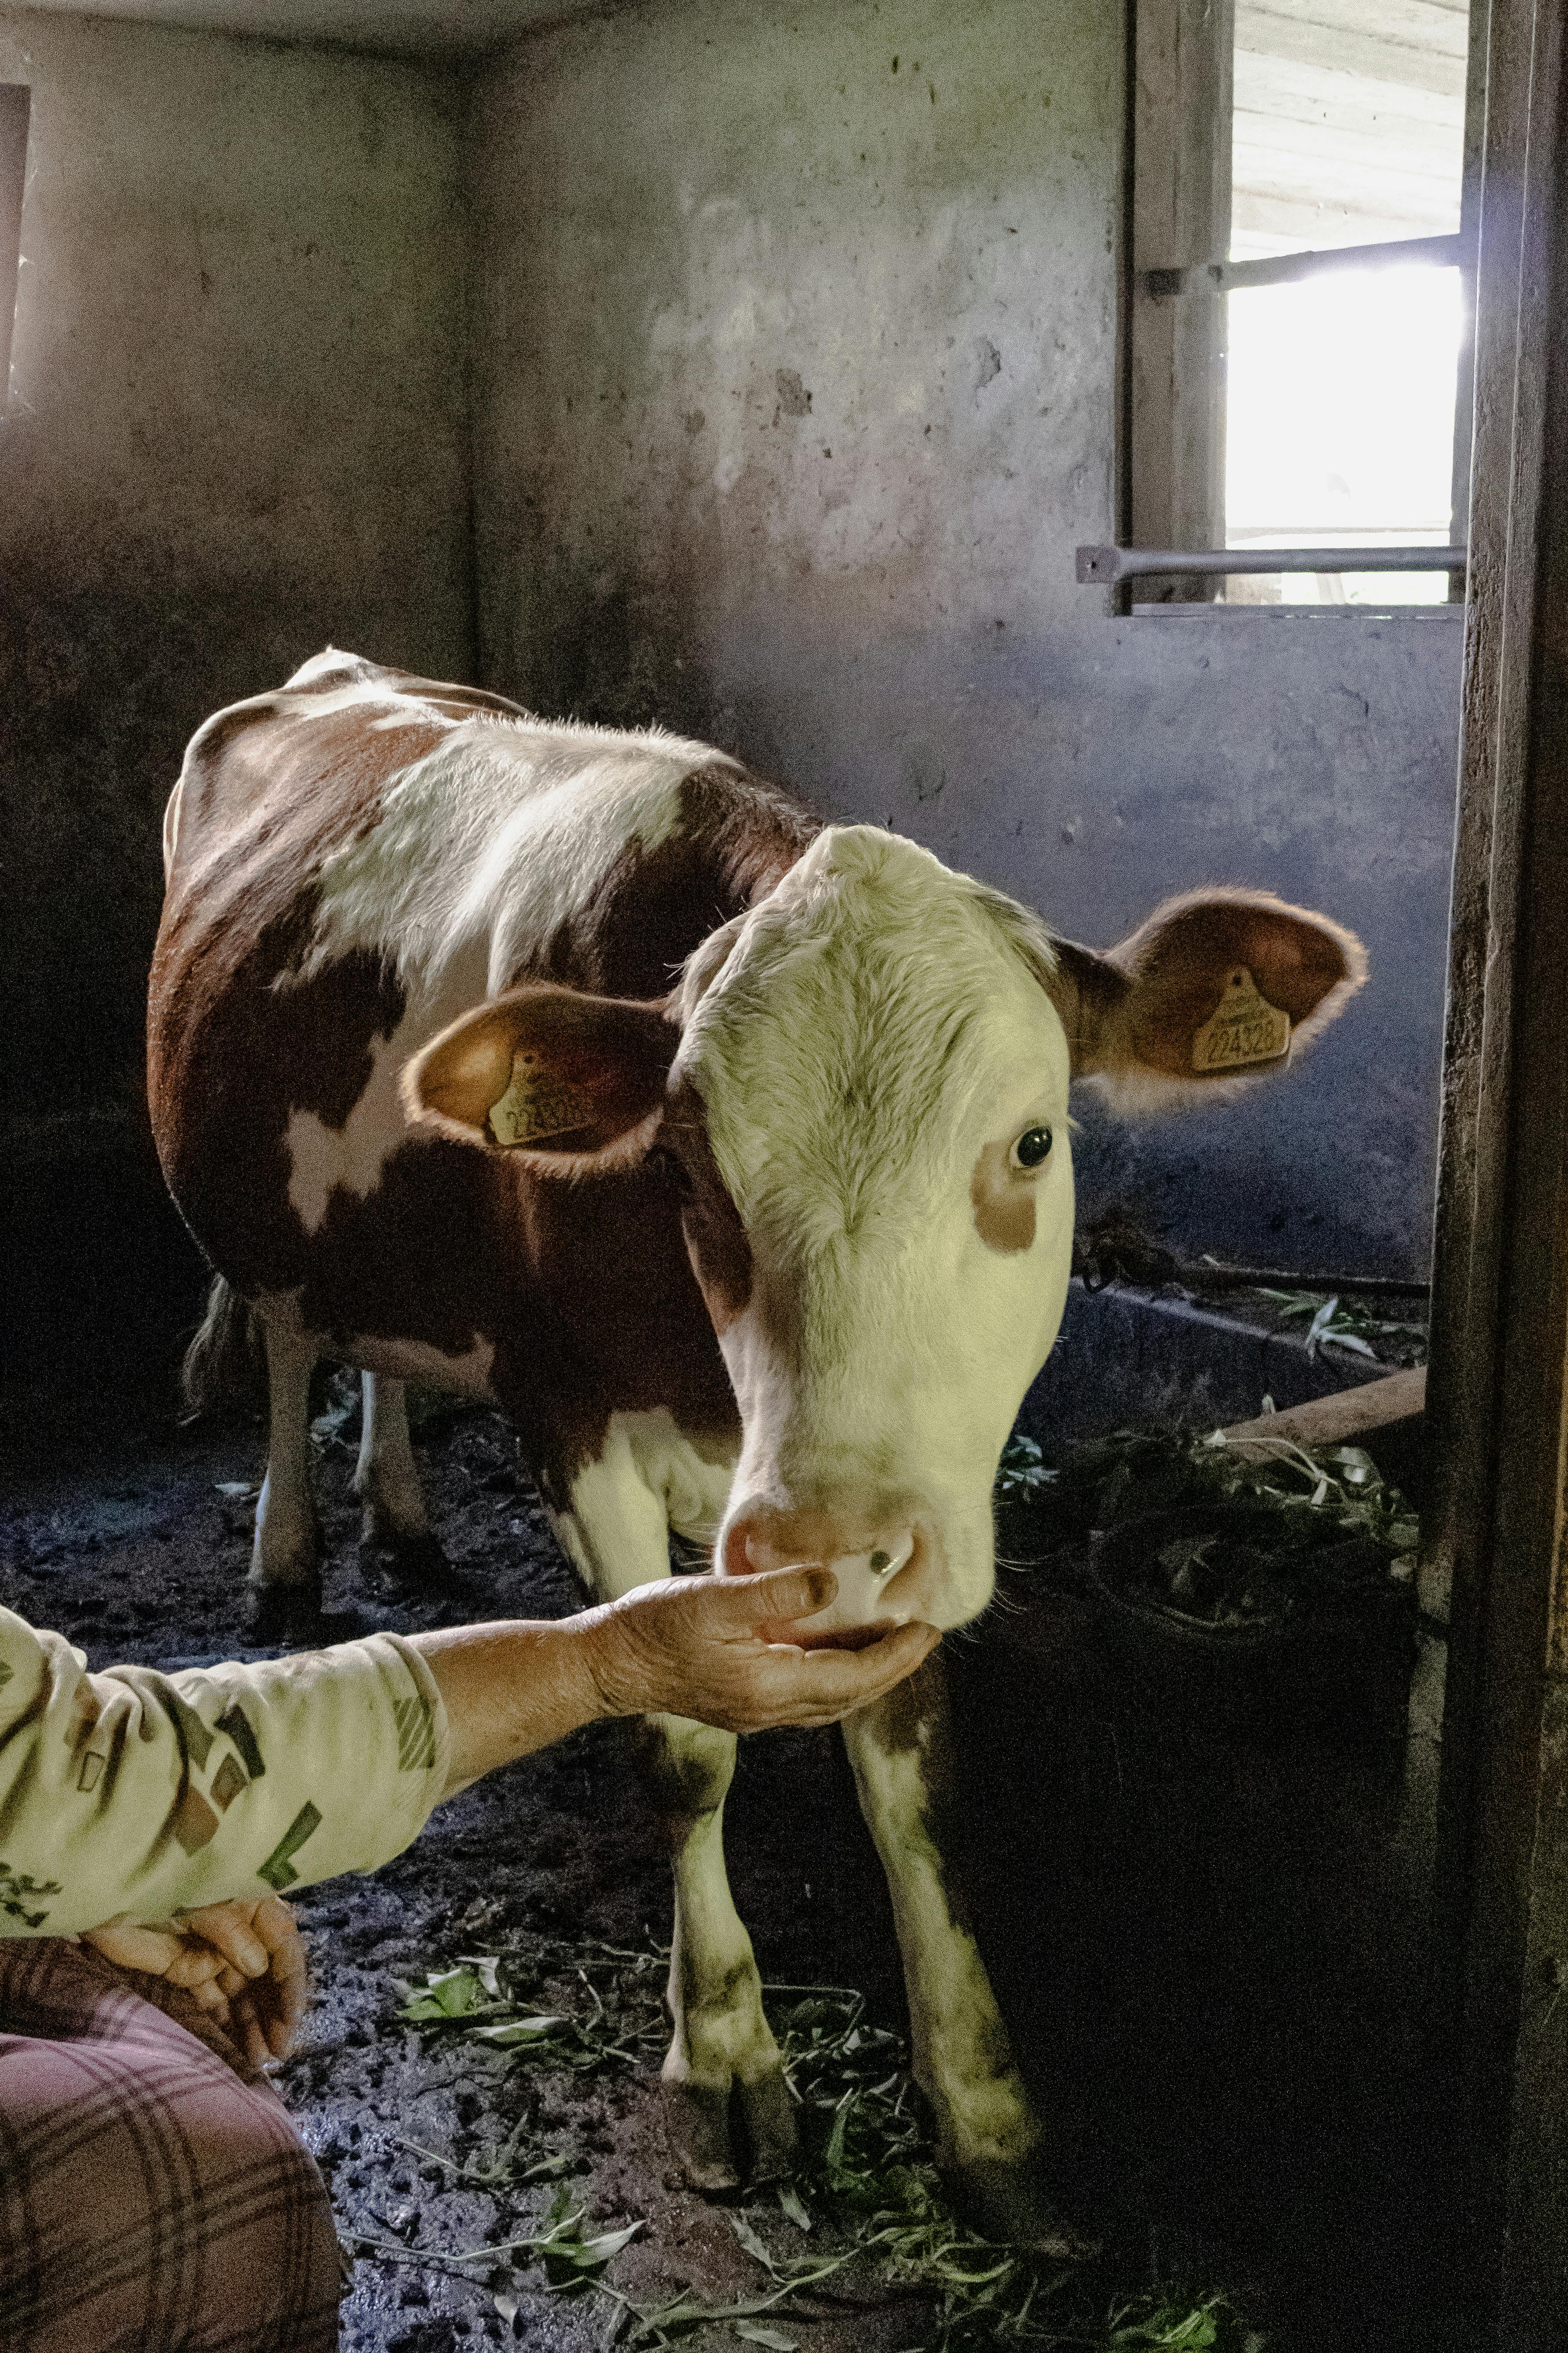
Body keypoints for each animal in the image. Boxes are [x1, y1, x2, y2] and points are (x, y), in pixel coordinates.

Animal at [148, 648, 1366, 2246]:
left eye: (1033, 1142)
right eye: (682, 1169)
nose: (825, 1549)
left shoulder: (922, 1493)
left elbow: (915, 1777)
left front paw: (984, 2107)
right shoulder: (569, 1417)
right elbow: (681, 1745)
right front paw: (727, 2053)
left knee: (378, 1348)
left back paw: (400, 1511)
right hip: (267, 1210)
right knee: (292, 1339)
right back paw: (288, 1552)